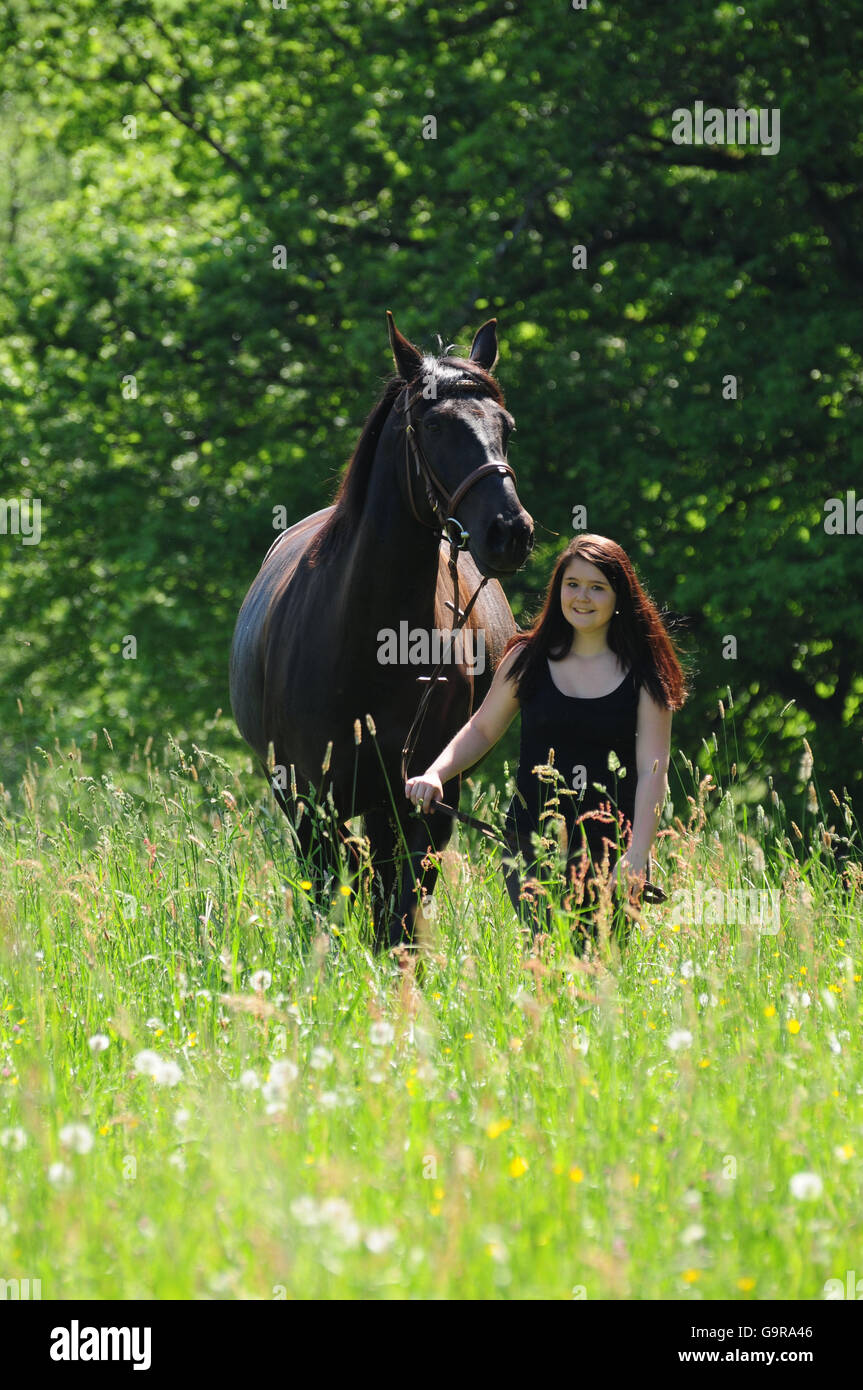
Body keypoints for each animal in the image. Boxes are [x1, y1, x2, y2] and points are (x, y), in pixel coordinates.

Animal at [229, 312, 534, 947]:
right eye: (434, 425)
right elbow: (332, 884)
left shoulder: (425, 794)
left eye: (507, 428)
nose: (510, 532)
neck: (366, 640)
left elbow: (401, 902)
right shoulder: (308, 795)